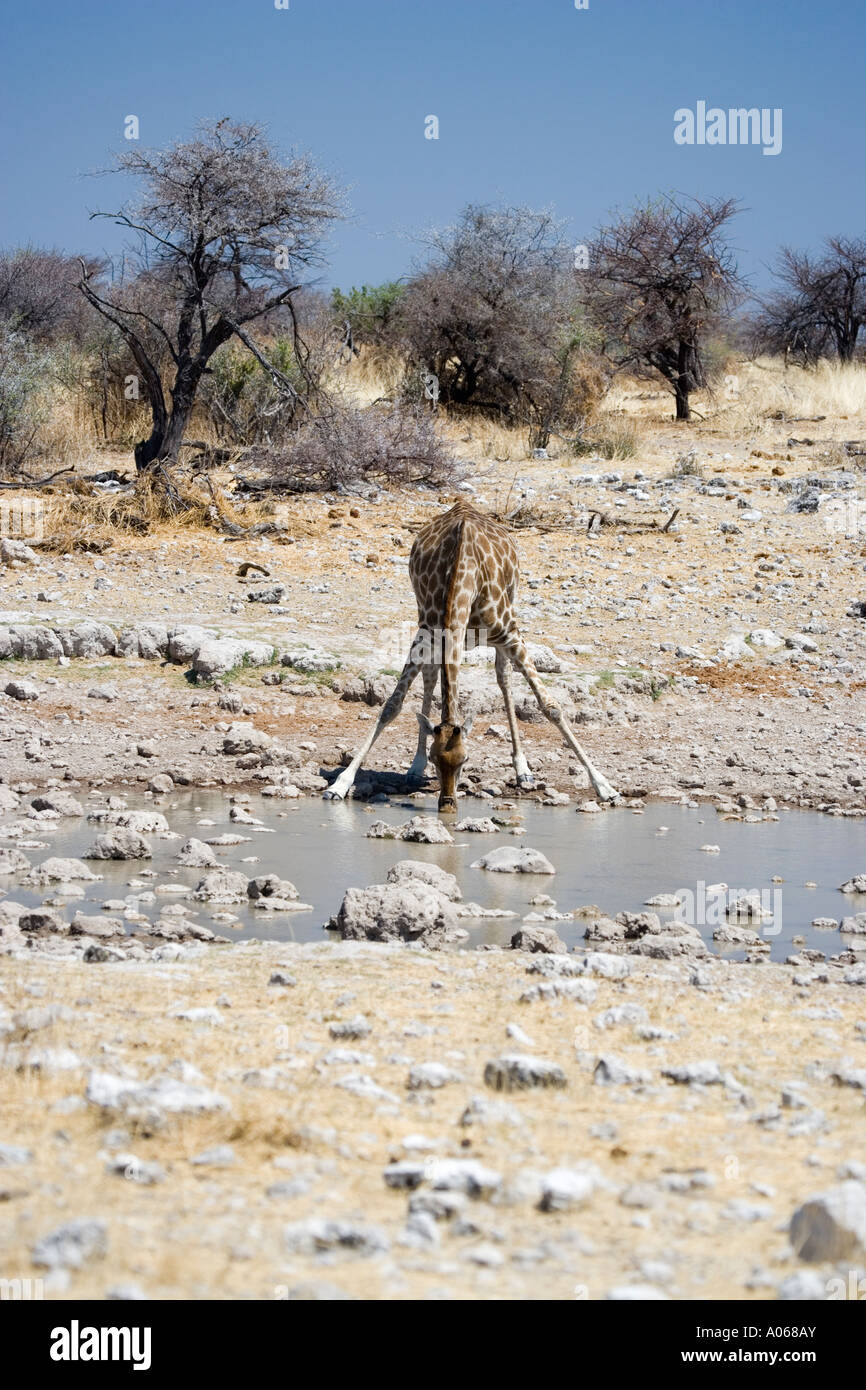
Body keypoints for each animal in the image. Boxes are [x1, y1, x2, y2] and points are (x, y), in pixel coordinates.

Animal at [324, 499, 619, 811]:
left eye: (465, 759)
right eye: (436, 759)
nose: (447, 803)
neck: (464, 578)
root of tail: (462, 504)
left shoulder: (510, 633)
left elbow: (550, 706)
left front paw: (605, 787)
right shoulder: (426, 634)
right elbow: (392, 705)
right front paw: (340, 784)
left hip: (506, 620)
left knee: (503, 679)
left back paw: (523, 770)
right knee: (431, 679)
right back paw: (415, 767)